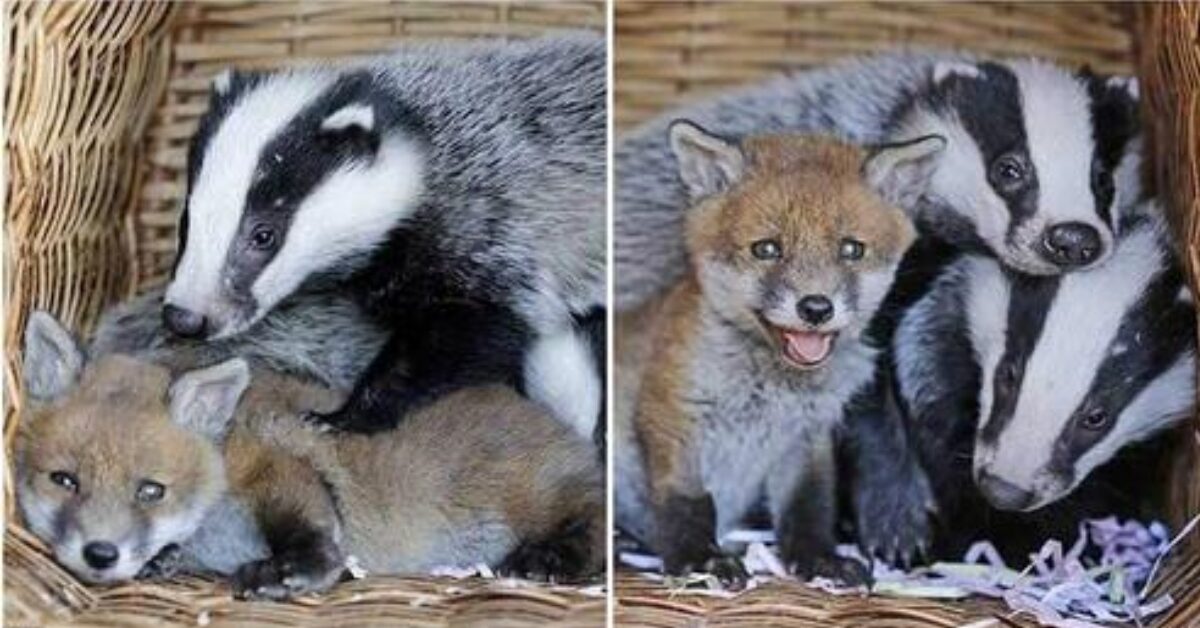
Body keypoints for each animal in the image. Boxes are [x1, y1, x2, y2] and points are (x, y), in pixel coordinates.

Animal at [15, 312, 604, 598]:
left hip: (543, 500)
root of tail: (554, 418)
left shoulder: (280, 472)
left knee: (594, 521)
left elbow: (316, 542)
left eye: (150, 491)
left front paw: (287, 575)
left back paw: (549, 559)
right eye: (64, 480)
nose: (100, 554)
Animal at [613, 121, 944, 582]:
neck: (770, 393)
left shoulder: (805, 438)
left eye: (851, 249)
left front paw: (819, 560)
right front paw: (699, 559)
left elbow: (808, 509)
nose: (816, 308)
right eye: (767, 249)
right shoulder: (672, 415)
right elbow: (687, 505)